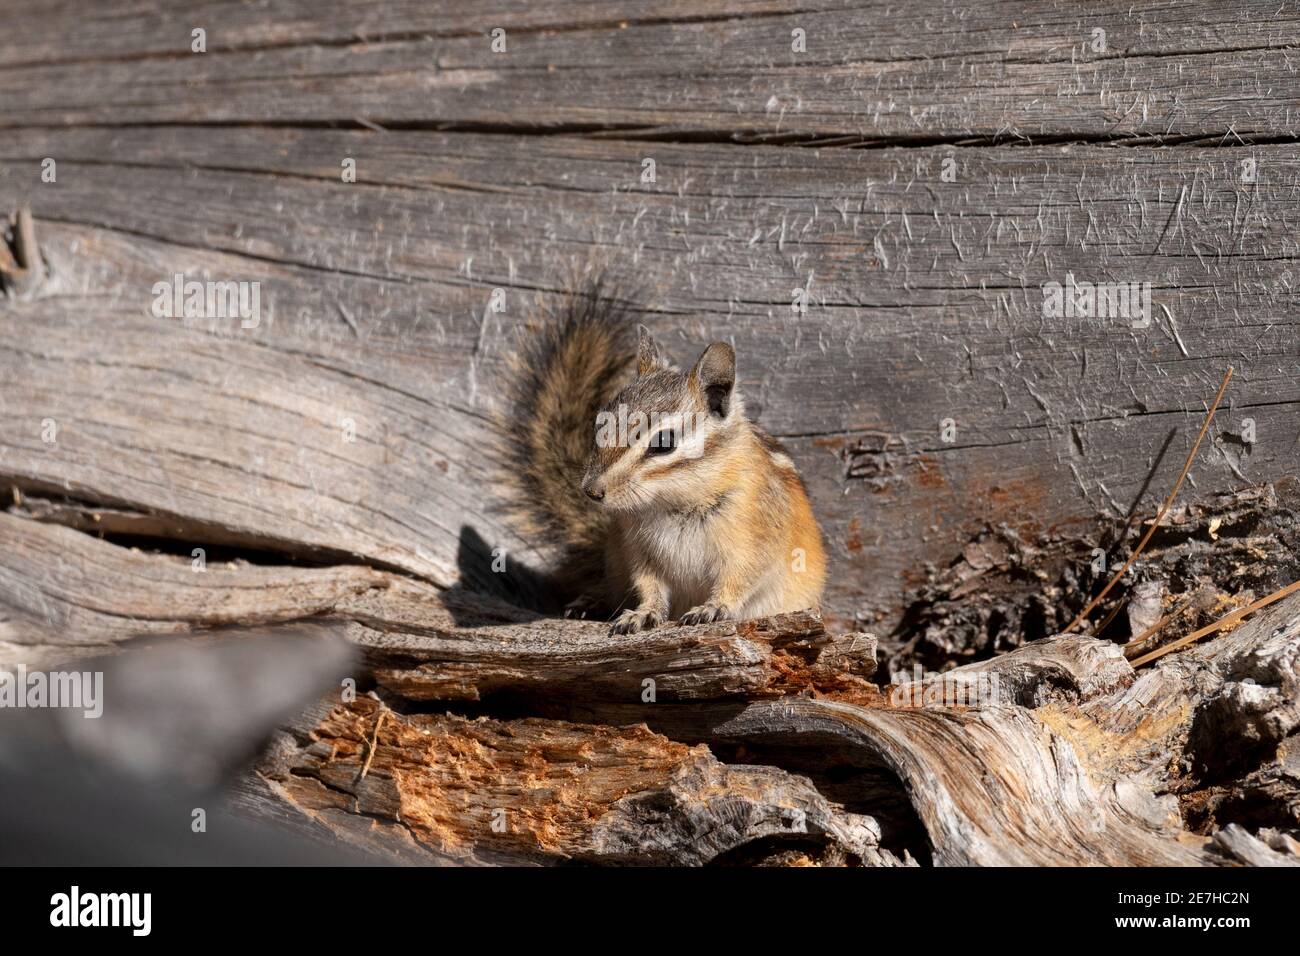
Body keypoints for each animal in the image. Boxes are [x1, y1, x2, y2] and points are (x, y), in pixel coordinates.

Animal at [499, 279, 826, 635]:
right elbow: (649, 586)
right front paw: (643, 613)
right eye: (600, 421)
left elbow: (740, 579)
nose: (592, 491)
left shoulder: (754, 541)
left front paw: (713, 607)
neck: (674, 501)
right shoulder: (638, 551)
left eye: (664, 442)